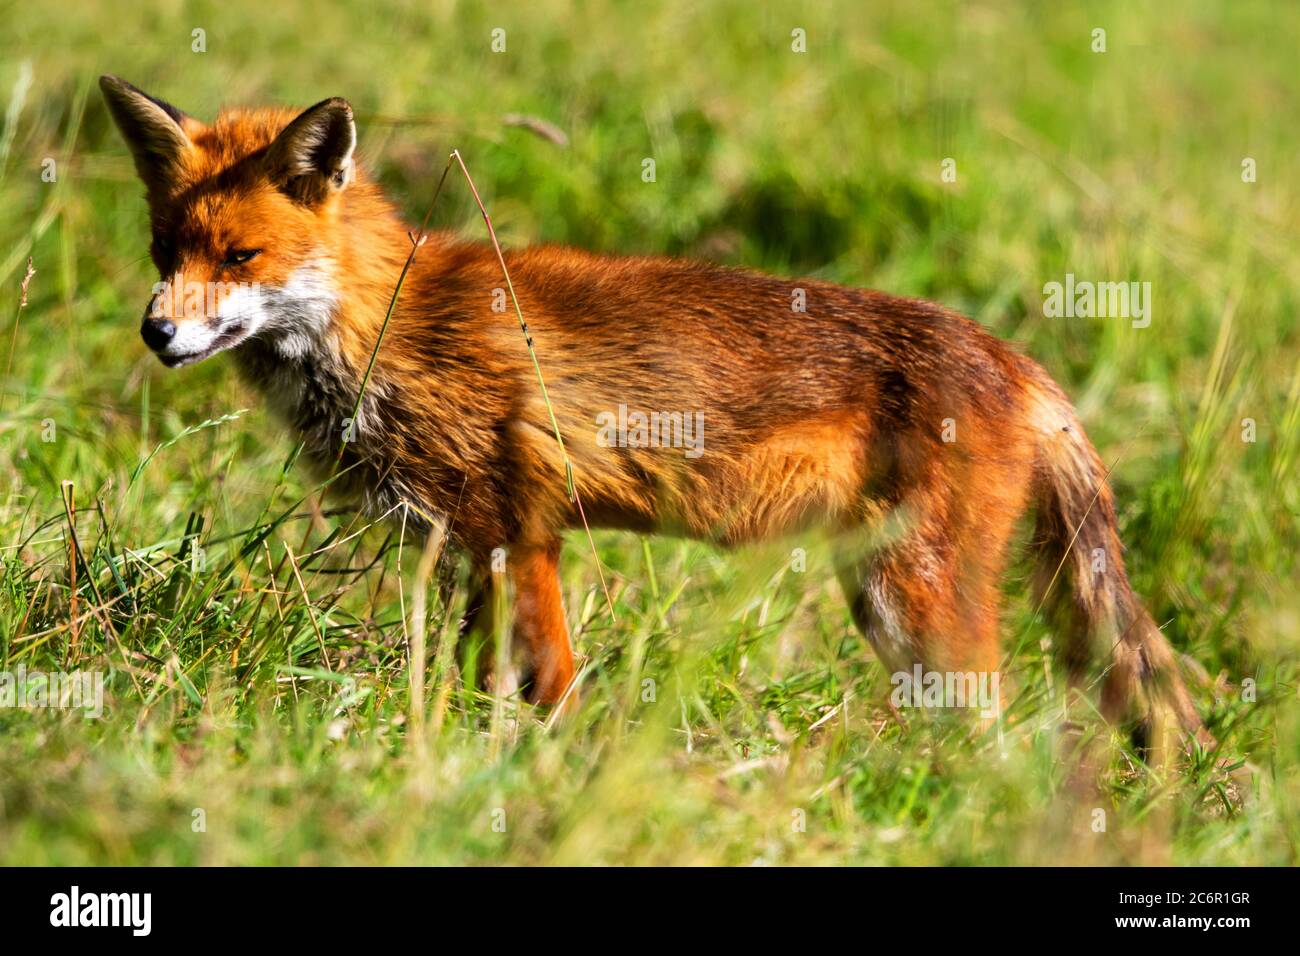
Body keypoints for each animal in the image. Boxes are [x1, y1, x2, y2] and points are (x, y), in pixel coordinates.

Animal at [100, 75, 1208, 746]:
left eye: (240, 256)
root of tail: (1021, 360)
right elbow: (482, 682)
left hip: (914, 600)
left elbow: (549, 683)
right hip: (890, 595)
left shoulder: (517, 533)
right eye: (163, 250)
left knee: (999, 739)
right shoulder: (476, 546)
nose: (155, 332)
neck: (391, 327)